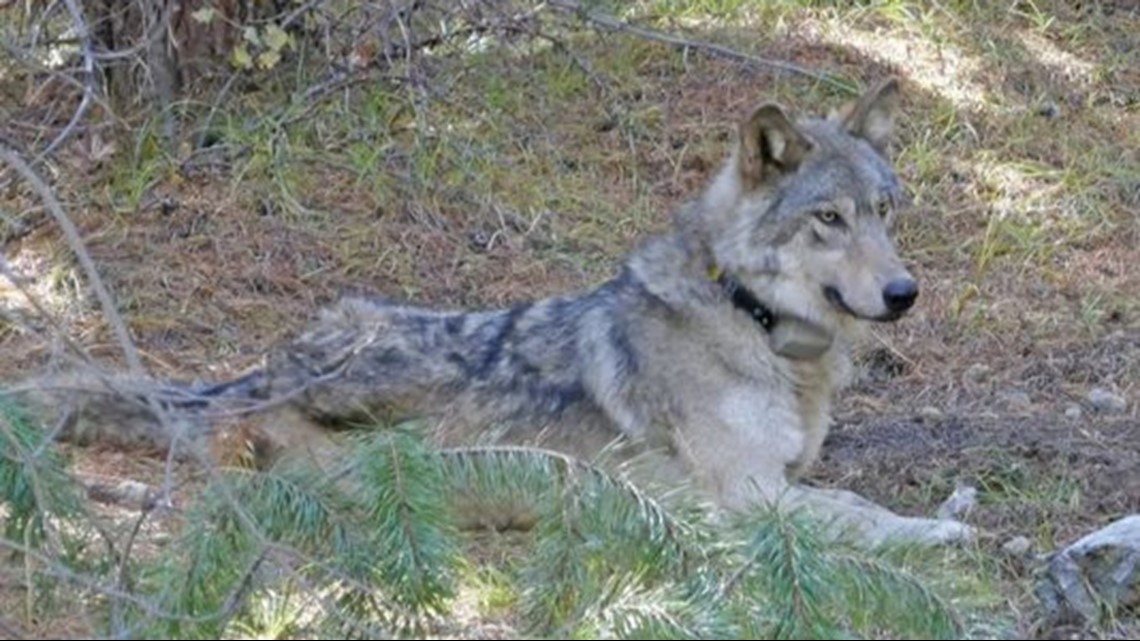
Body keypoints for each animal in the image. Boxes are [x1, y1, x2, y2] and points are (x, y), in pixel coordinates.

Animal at [11, 77, 974, 549]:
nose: (904, 292)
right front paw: (940, 530)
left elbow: (843, 491)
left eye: (885, 210)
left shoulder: (783, 474)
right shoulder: (746, 496)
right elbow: (858, 513)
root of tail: (255, 371)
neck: (759, 325)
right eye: (829, 218)